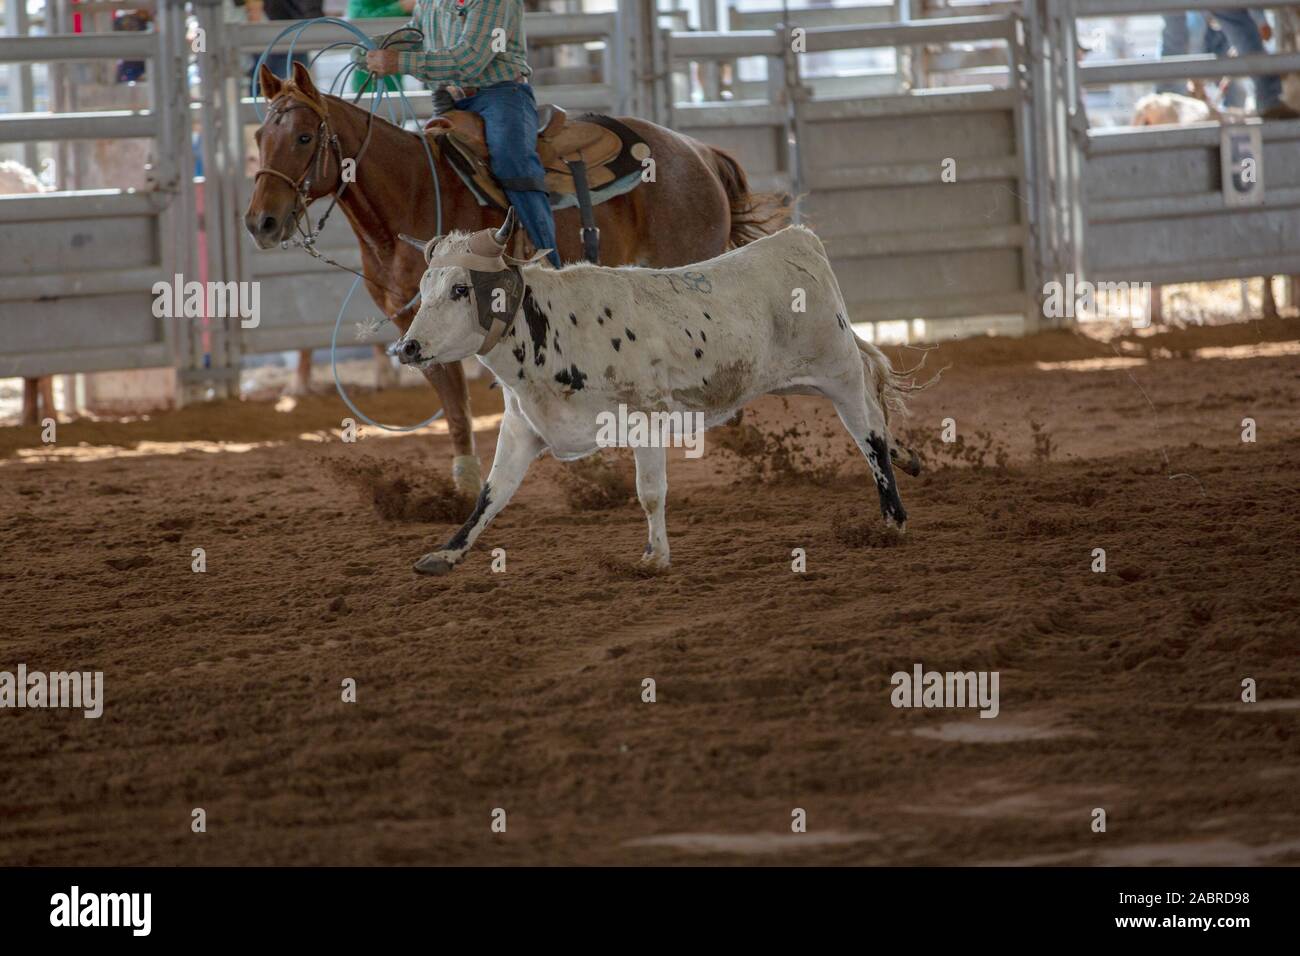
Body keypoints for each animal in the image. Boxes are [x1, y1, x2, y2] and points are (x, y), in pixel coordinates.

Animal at [389, 209, 918, 575]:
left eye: (461, 289)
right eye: (424, 288)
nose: (407, 346)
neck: (554, 326)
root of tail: (799, 240)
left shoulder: (645, 420)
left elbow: (649, 493)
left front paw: (653, 557)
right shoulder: (523, 427)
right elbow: (492, 493)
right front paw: (445, 553)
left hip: (837, 370)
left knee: (869, 434)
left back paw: (892, 520)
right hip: (809, 376)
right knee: (876, 412)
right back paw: (907, 459)